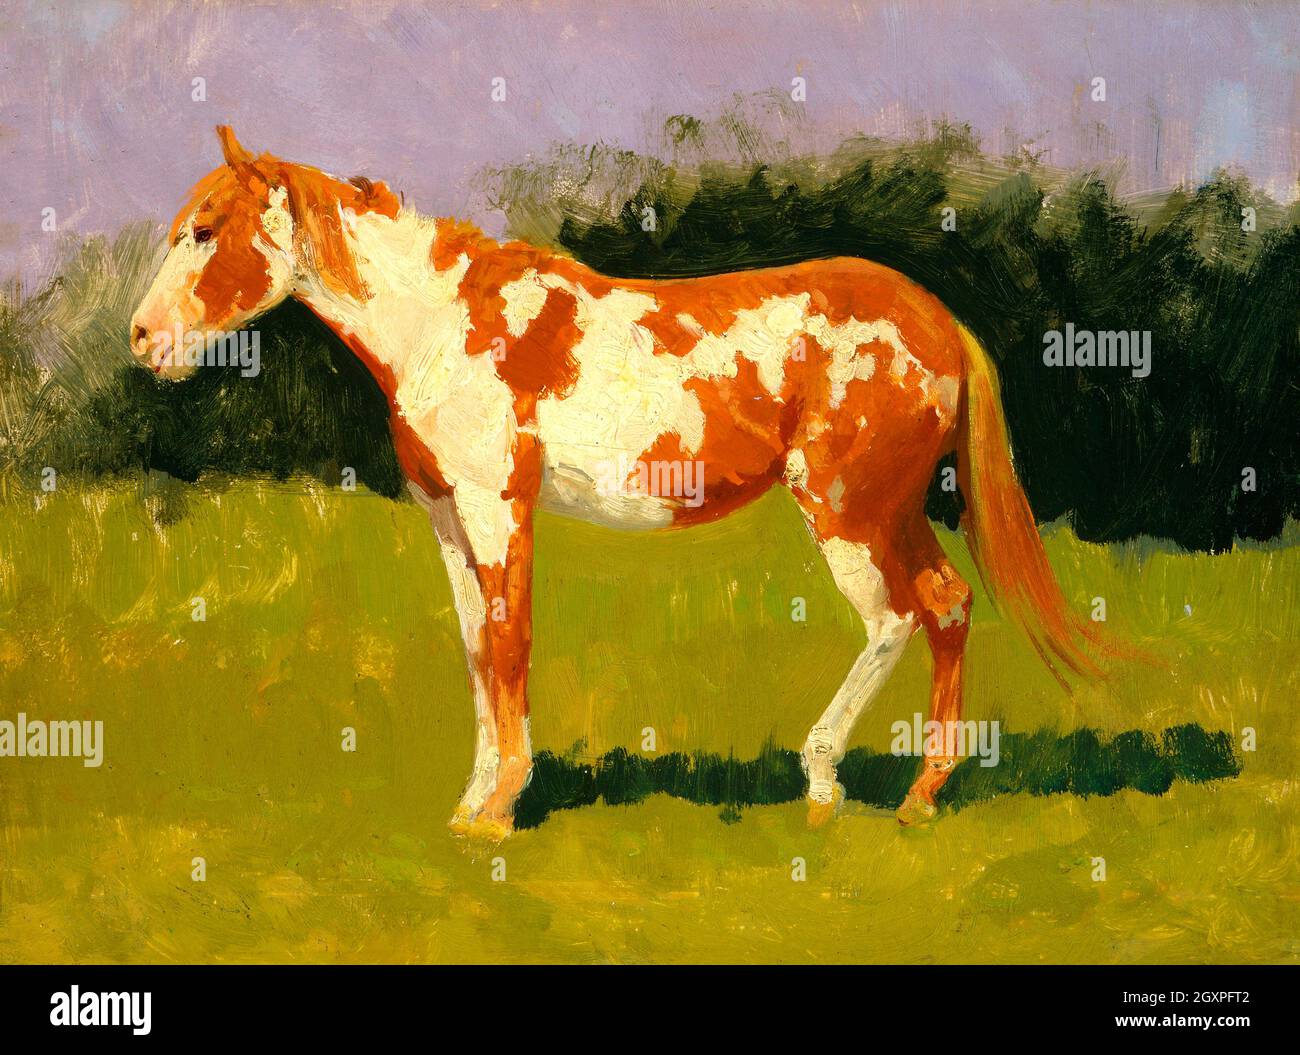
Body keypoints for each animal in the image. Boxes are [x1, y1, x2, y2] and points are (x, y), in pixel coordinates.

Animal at [130, 126, 1103, 839]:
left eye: (206, 229)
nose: (141, 338)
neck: (444, 326)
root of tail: (939, 320)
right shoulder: (448, 517)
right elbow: (476, 647)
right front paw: (469, 803)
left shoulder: (498, 507)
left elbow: (510, 641)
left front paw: (498, 809)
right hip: (890, 510)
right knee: (947, 604)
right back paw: (922, 791)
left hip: (847, 510)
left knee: (899, 614)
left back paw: (828, 783)